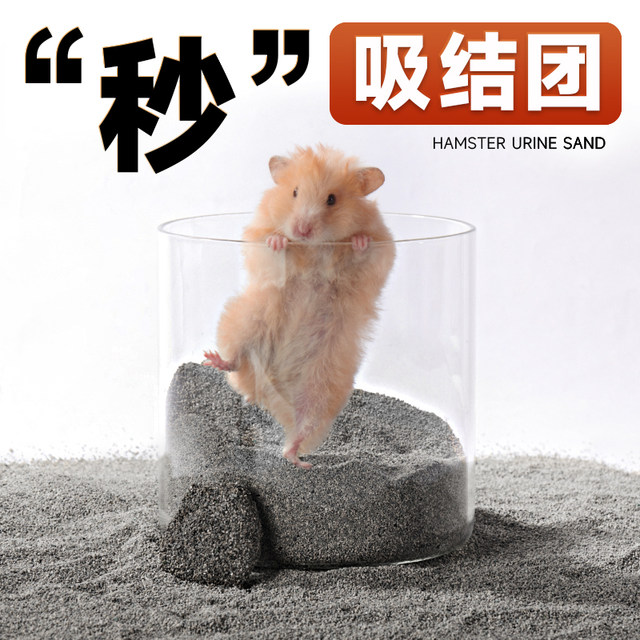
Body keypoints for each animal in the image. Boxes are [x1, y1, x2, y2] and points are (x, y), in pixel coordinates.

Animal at [203, 145, 395, 468]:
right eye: (294, 192)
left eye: (332, 199)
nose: (302, 229)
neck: (314, 246)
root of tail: (272, 386)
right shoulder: (257, 238)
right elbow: (270, 247)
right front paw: (279, 240)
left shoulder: (381, 252)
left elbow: (365, 251)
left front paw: (358, 240)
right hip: (246, 320)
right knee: (236, 360)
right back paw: (213, 359)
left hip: (323, 385)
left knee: (302, 430)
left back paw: (297, 459)